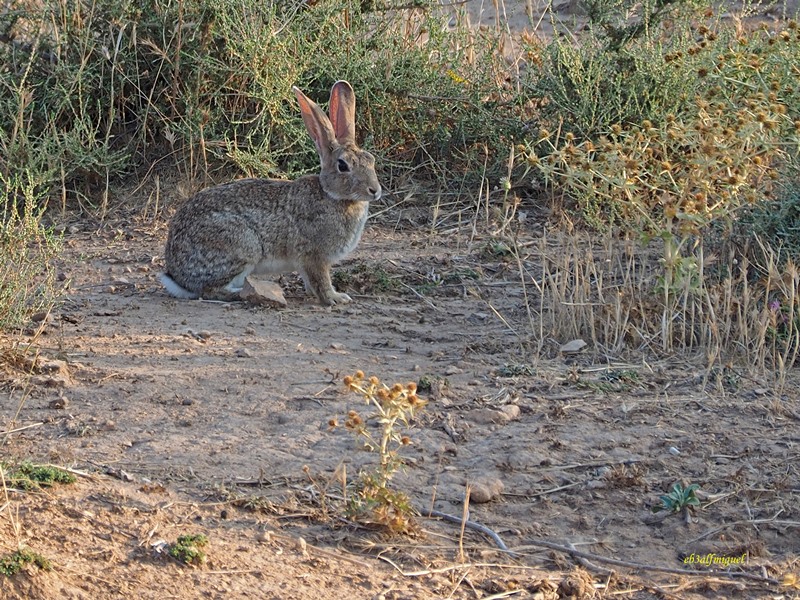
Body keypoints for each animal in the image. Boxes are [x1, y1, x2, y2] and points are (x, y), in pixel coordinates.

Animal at [159, 80, 381, 305]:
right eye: (343, 166)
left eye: (371, 159)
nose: (375, 191)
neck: (332, 195)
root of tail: (177, 276)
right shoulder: (314, 255)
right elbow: (321, 280)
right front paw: (336, 298)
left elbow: (309, 280)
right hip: (242, 247)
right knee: (211, 290)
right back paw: (245, 292)